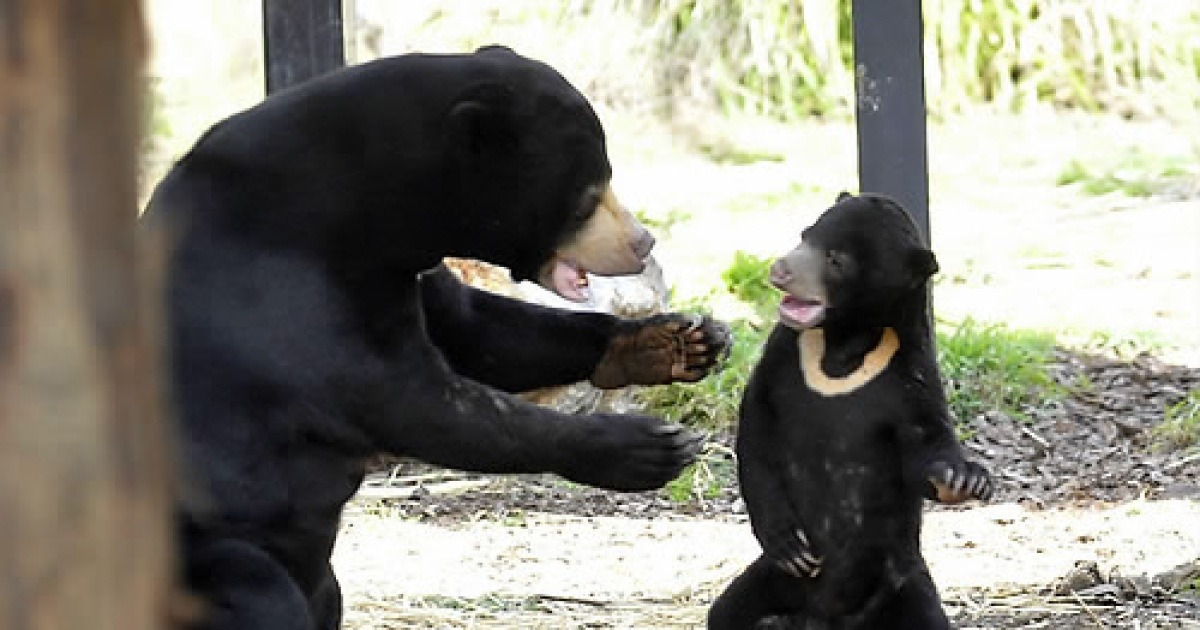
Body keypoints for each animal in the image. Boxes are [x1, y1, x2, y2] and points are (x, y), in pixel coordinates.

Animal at [144, 45, 731, 630]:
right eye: (587, 196)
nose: (643, 240)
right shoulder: (287, 287)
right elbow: (414, 400)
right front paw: (648, 446)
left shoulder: (411, 270)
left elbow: (480, 329)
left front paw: (681, 341)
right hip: (204, 552)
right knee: (256, 589)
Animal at [707, 193, 993, 629]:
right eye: (805, 234)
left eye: (836, 260)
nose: (780, 268)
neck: (843, 343)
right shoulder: (785, 352)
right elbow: (757, 427)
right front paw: (789, 544)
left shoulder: (911, 375)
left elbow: (925, 443)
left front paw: (964, 479)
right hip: (774, 584)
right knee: (727, 613)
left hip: (903, 578)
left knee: (928, 617)